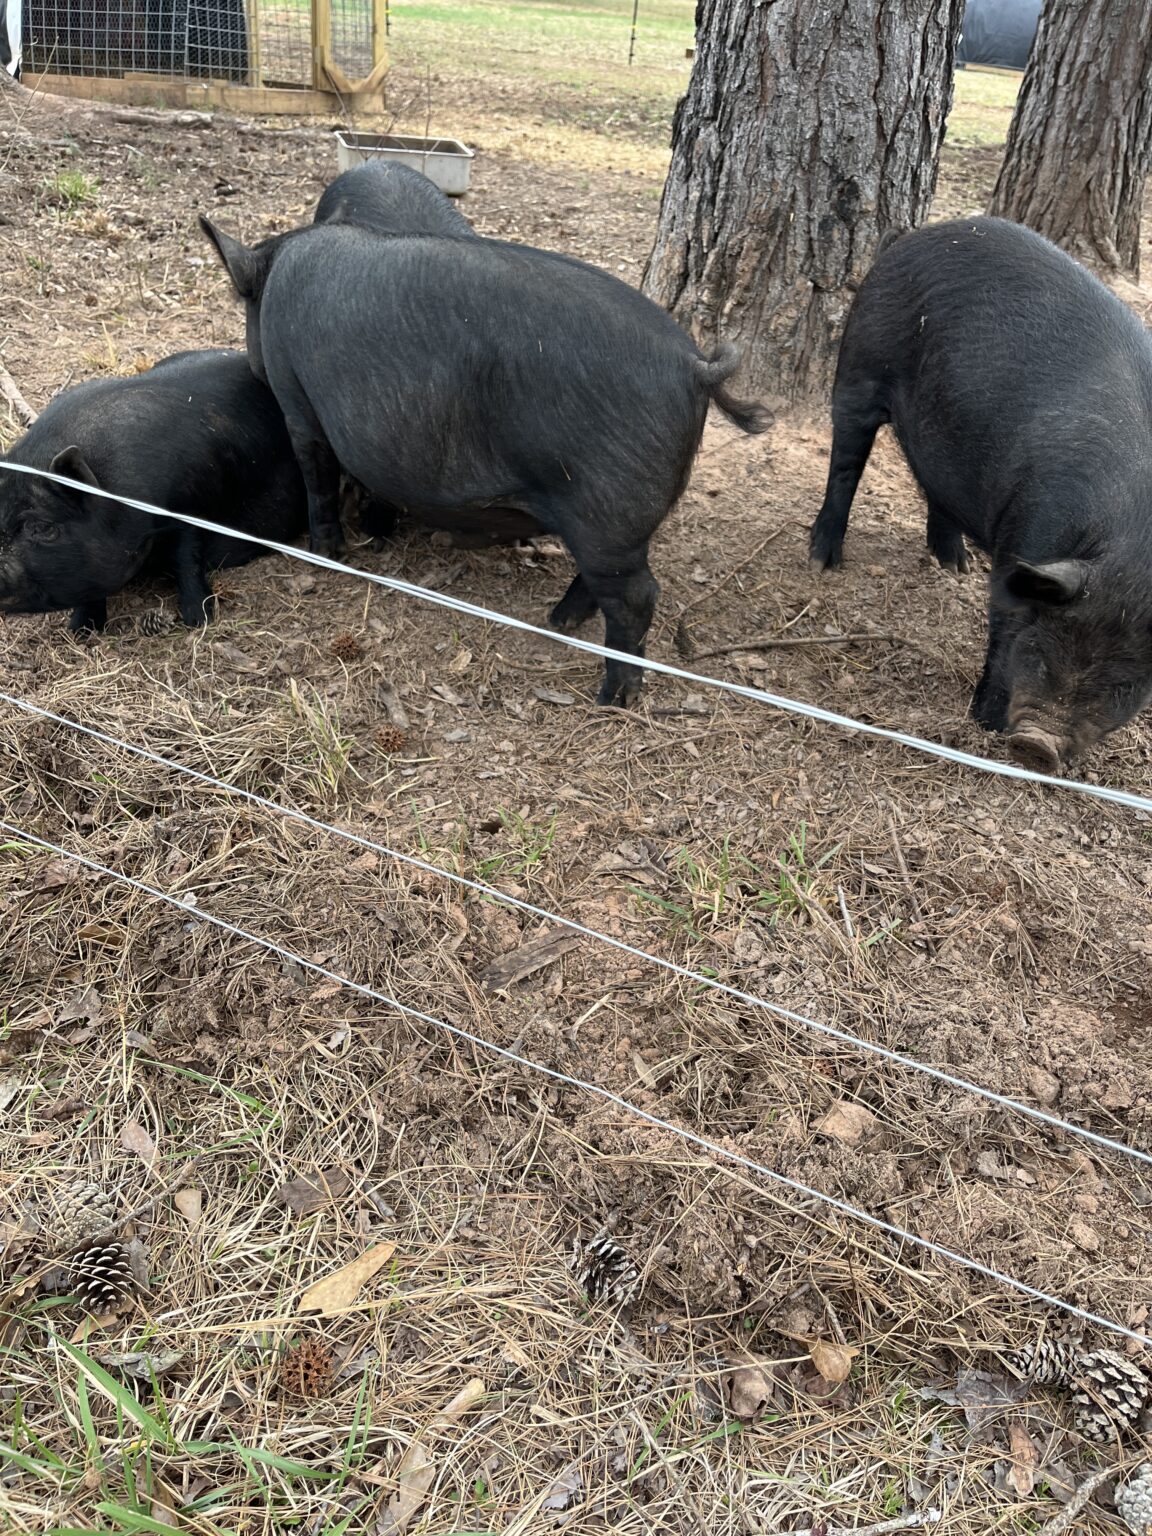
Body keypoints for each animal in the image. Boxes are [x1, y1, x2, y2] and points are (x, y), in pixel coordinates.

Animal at [199, 216, 769, 705]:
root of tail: (694, 366)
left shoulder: (297, 400)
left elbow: (317, 477)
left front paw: (327, 554)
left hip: (607, 507)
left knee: (637, 595)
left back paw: (611, 697)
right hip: (615, 522)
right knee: (604, 581)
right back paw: (558, 622)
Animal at [809, 216, 1152, 772]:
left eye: (1122, 687)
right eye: (1041, 653)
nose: (1038, 745)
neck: (1132, 548)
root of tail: (916, 236)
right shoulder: (1027, 540)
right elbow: (1002, 628)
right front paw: (985, 725)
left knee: (937, 486)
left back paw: (955, 565)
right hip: (859, 366)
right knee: (845, 462)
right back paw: (823, 561)